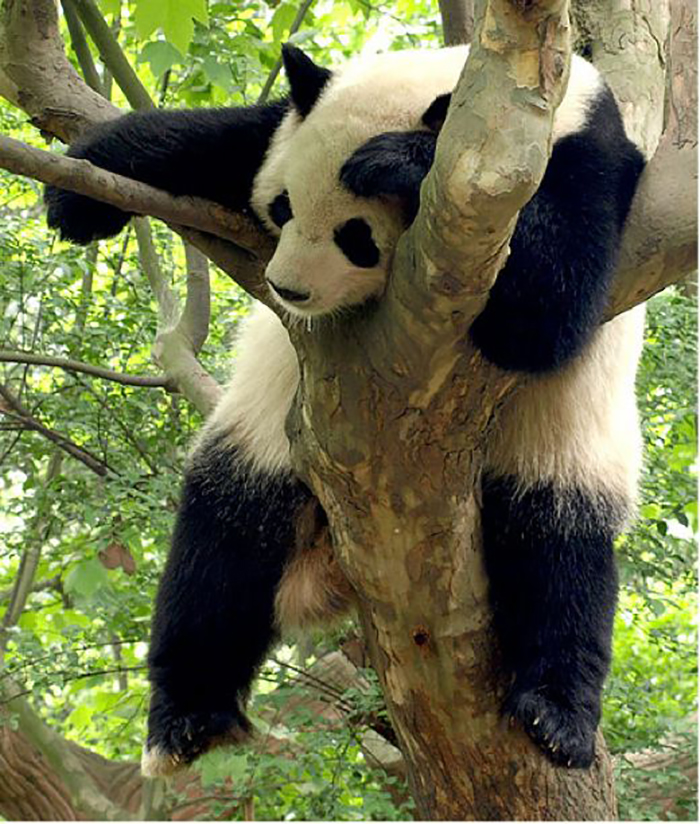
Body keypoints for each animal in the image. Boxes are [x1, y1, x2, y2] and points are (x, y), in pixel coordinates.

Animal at [45, 43, 646, 774]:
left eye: (357, 237)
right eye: (281, 207)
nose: (286, 288)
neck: (489, 107)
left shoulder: (591, 167)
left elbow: (546, 310)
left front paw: (401, 161)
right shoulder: (288, 125)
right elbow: (209, 141)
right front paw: (76, 197)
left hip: (560, 449)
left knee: (560, 556)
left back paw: (556, 713)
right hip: (266, 445)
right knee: (223, 549)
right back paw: (189, 713)